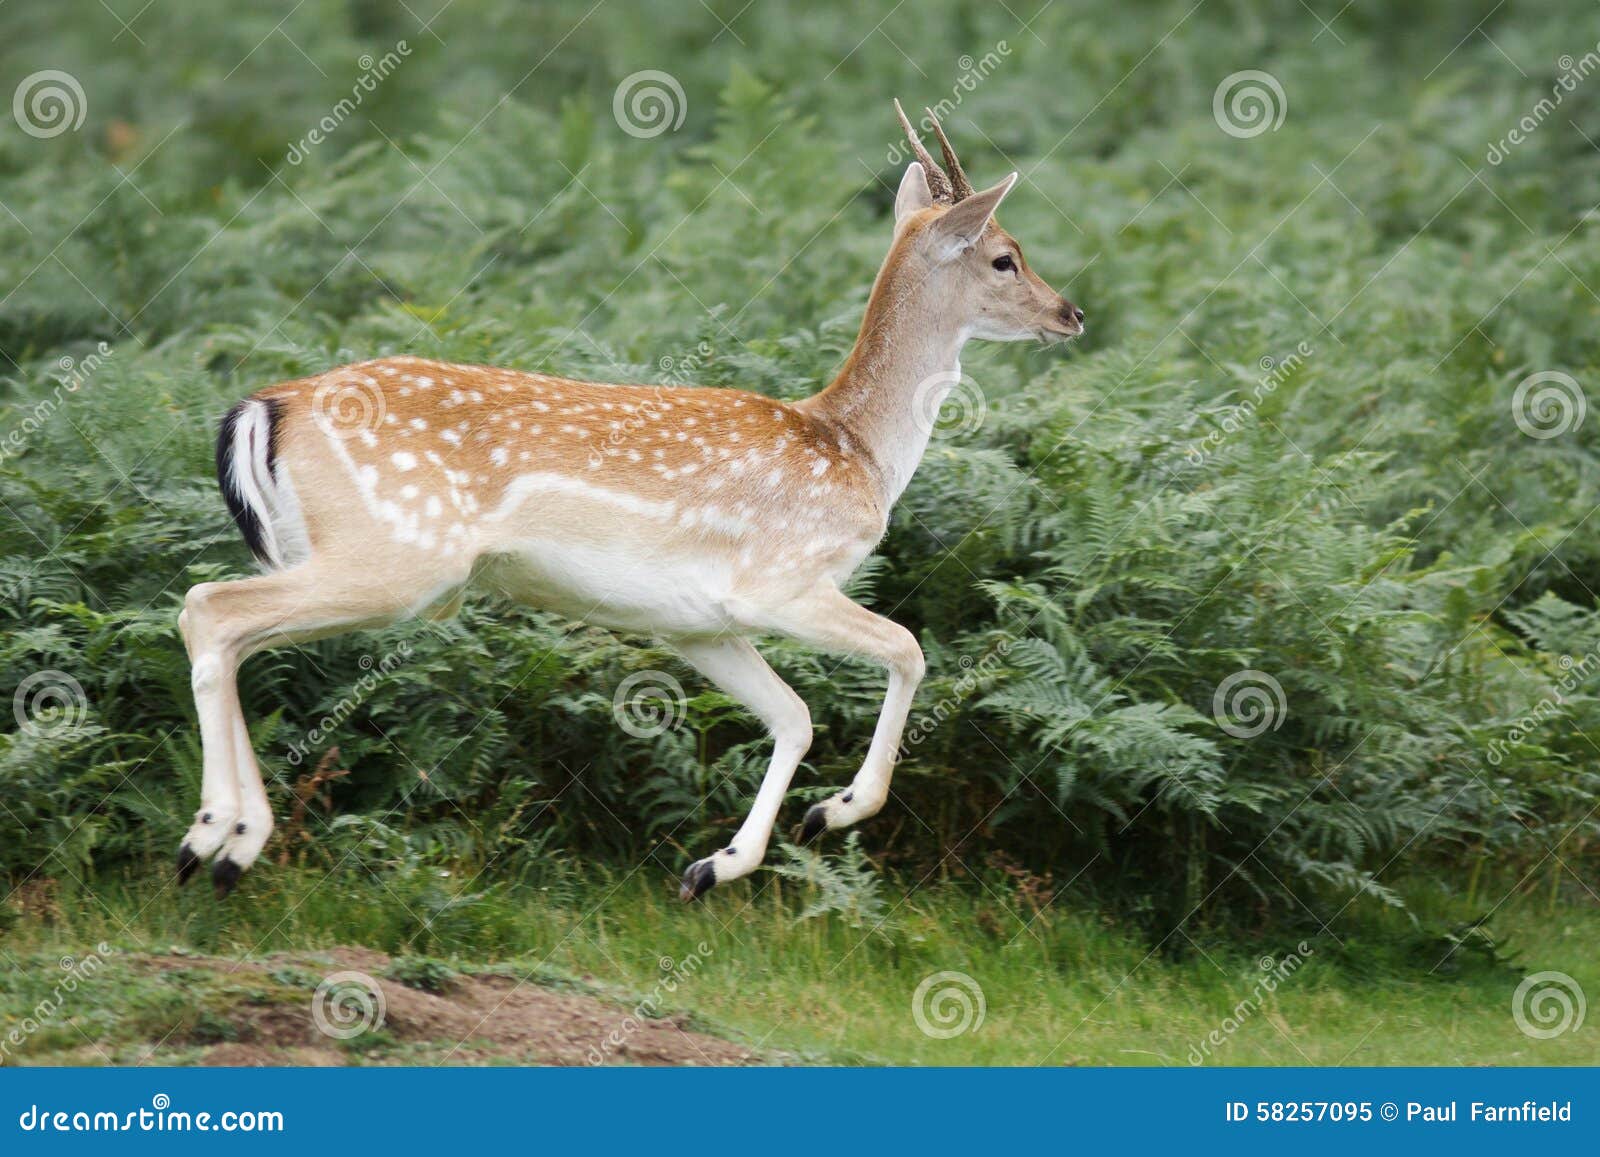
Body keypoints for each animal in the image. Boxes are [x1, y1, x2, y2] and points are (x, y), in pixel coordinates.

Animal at [177, 100, 1084, 901]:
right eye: (1005, 256)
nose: (1070, 312)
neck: (855, 451)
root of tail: (268, 405)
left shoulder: (696, 623)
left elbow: (793, 715)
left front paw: (715, 866)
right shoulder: (780, 579)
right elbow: (908, 648)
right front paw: (835, 810)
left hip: (336, 553)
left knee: (229, 629)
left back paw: (224, 847)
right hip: (398, 553)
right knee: (209, 607)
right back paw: (216, 834)